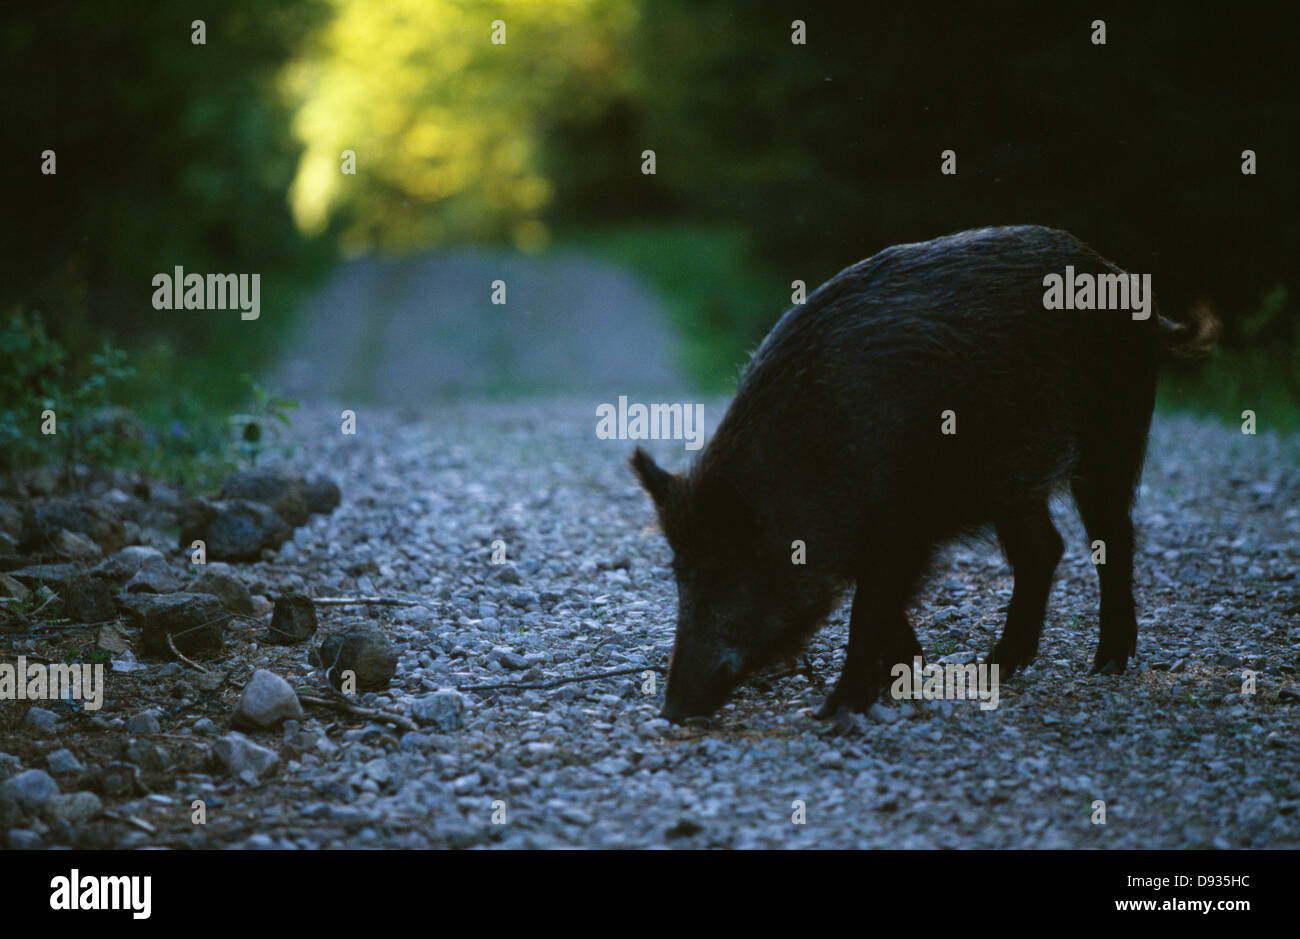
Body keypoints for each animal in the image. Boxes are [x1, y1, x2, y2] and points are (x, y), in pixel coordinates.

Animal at [631, 225, 1217, 722]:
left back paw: (1105, 666)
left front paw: (837, 713)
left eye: (724, 570)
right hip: (1011, 479)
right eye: (678, 572)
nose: (672, 710)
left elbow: (869, 606)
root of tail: (1132, 291)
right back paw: (995, 667)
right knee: (1044, 548)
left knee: (1113, 537)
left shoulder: (902, 523)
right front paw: (910, 667)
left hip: (1112, 438)